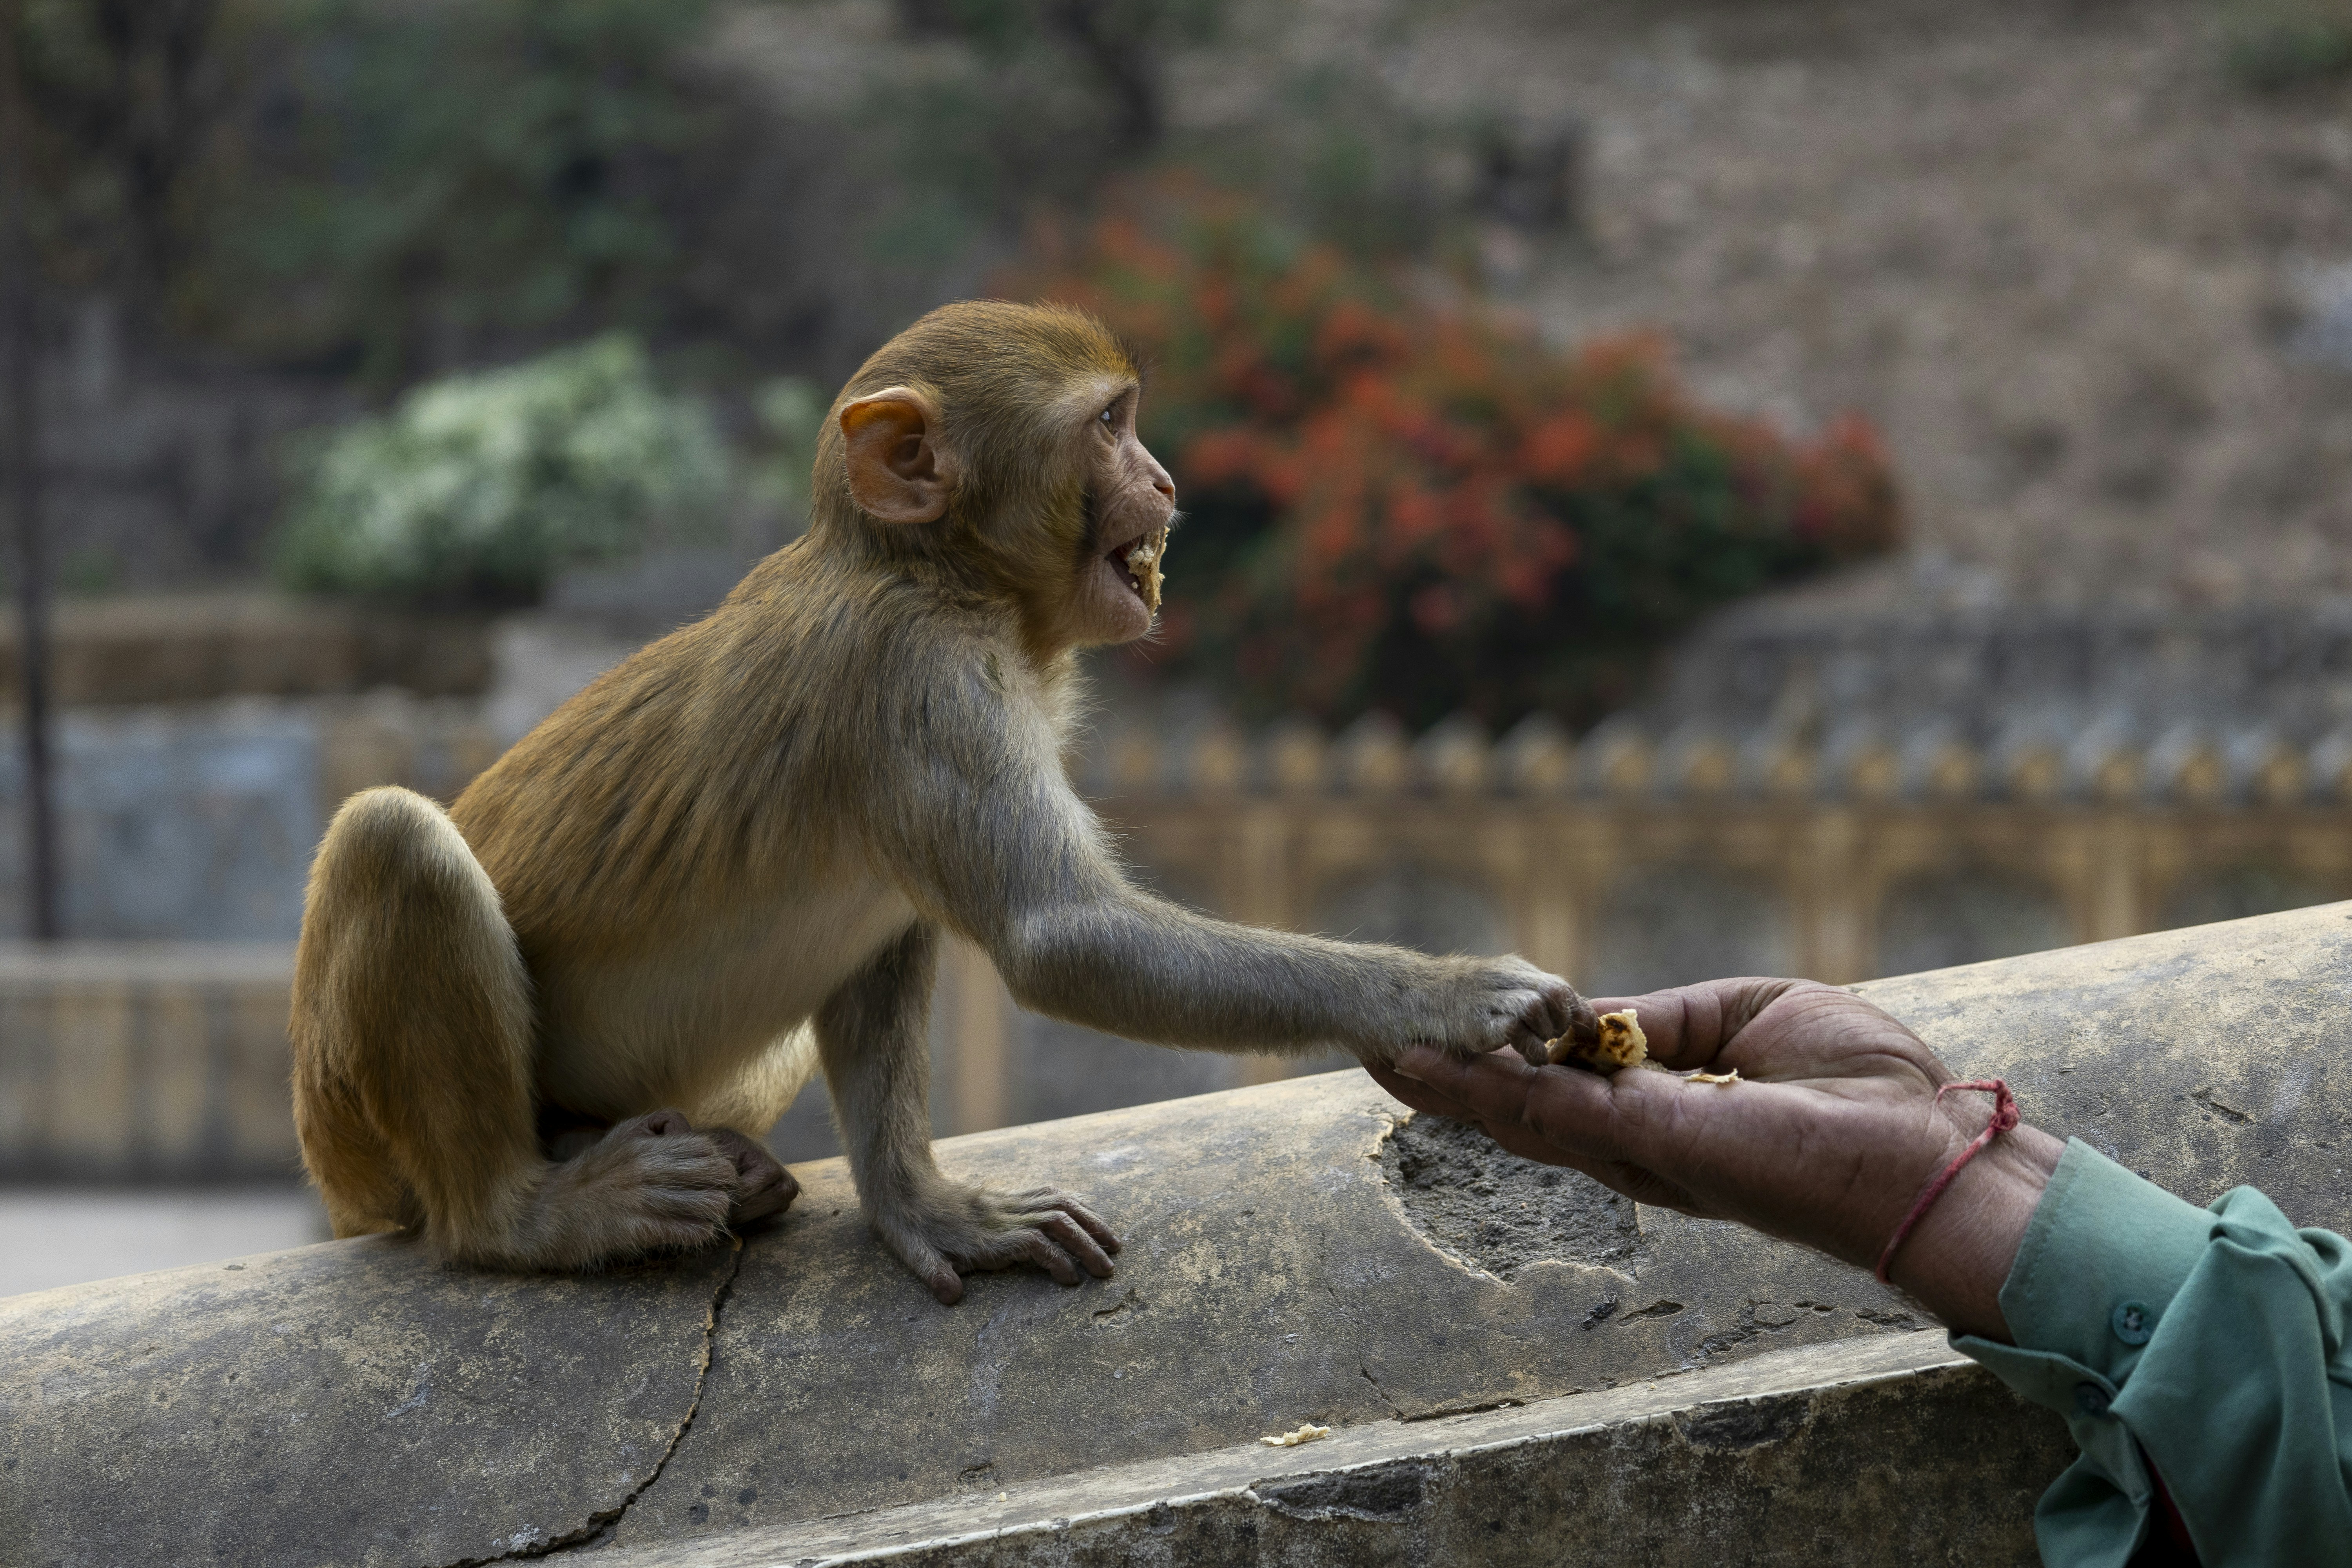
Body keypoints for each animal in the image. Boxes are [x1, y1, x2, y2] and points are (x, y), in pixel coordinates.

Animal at [290, 300, 1595, 1304]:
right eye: (1109, 424)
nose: (1165, 476)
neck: (935, 573)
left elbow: (891, 946)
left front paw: (918, 1204)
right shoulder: (918, 679)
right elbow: (1061, 935)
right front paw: (1447, 995)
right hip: (354, 1125)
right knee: (392, 836)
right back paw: (527, 1211)